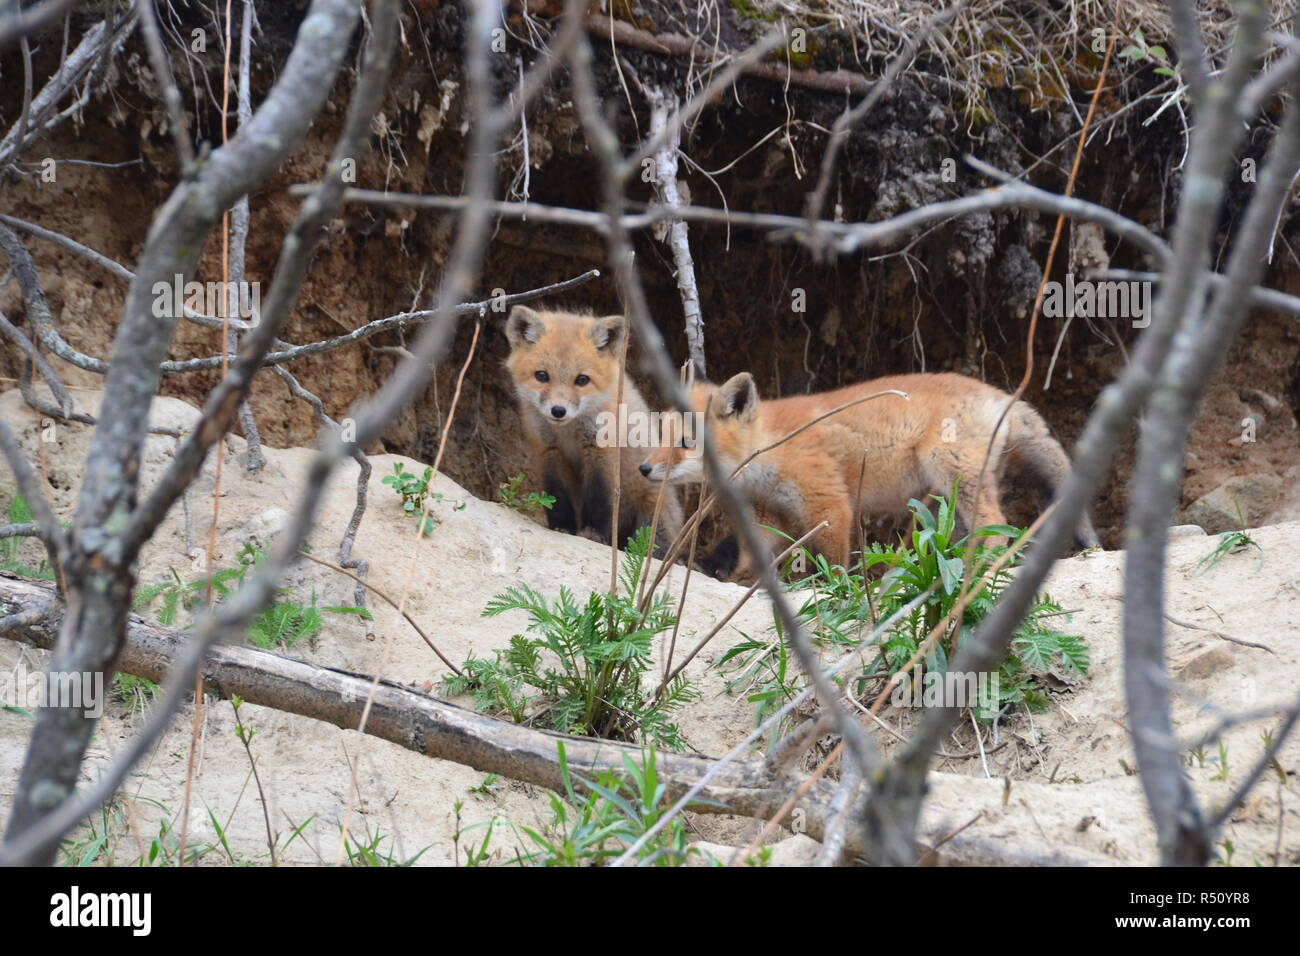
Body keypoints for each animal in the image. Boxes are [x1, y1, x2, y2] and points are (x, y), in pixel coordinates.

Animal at [505, 305, 682, 550]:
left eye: (581, 380)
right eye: (541, 375)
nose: (558, 410)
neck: (568, 432)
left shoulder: (600, 449)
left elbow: (600, 497)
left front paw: (594, 534)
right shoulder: (548, 451)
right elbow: (556, 495)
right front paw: (562, 527)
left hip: (653, 515)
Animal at [639, 371, 1100, 580]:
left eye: (685, 442)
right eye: (660, 436)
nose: (644, 468)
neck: (769, 448)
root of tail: (1000, 393)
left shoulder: (829, 504)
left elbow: (833, 564)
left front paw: (833, 590)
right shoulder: (769, 515)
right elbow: (754, 561)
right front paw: (737, 581)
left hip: (952, 471)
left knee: (997, 529)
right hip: (947, 496)